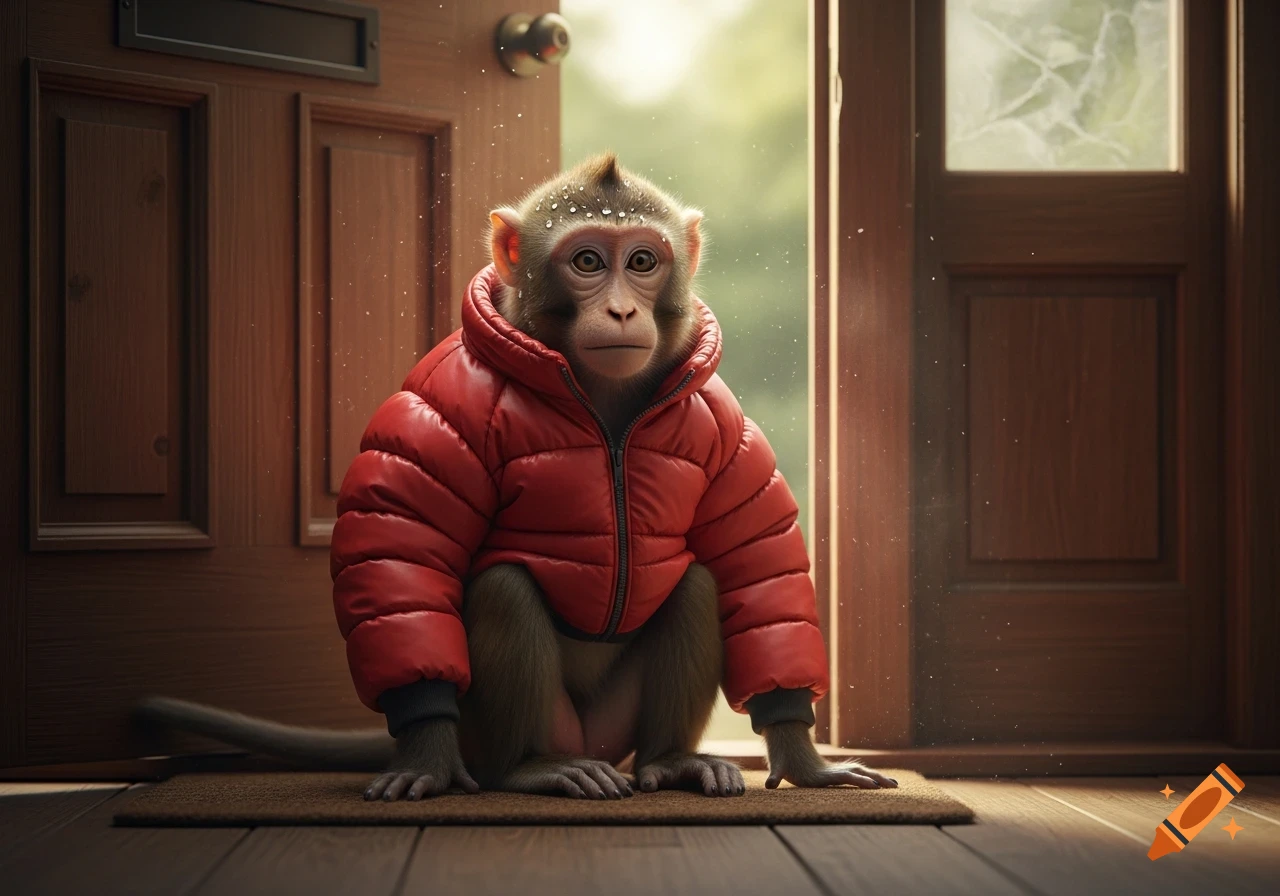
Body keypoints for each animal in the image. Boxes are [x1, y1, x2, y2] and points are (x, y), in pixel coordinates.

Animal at [138, 153, 897, 801]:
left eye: (643, 261)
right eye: (588, 261)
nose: (622, 309)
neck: (604, 412)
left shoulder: (720, 418)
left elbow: (754, 559)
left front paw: (803, 755)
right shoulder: (445, 394)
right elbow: (406, 545)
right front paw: (425, 754)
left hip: (616, 727)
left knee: (700, 583)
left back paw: (671, 760)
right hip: (507, 724)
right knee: (502, 592)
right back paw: (529, 768)